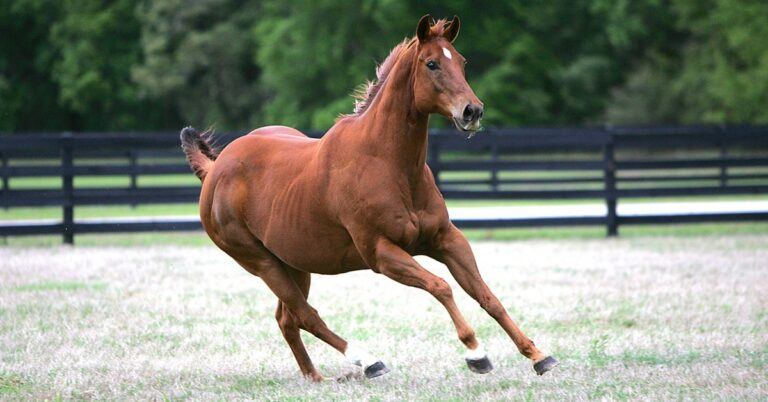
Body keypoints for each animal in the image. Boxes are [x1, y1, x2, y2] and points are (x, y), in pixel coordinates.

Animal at [181, 14, 558, 381]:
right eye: (431, 63)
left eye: (461, 62)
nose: (472, 112)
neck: (387, 163)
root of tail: (215, 169)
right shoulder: (382, 254)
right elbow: (441, 287)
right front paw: (476, 354)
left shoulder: (446, 240)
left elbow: (486, 295)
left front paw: (539, 356)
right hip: (261, 263)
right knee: (306, 315)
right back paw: (369, 361)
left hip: (294, 264)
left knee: (288, 319)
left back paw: (316, 378)